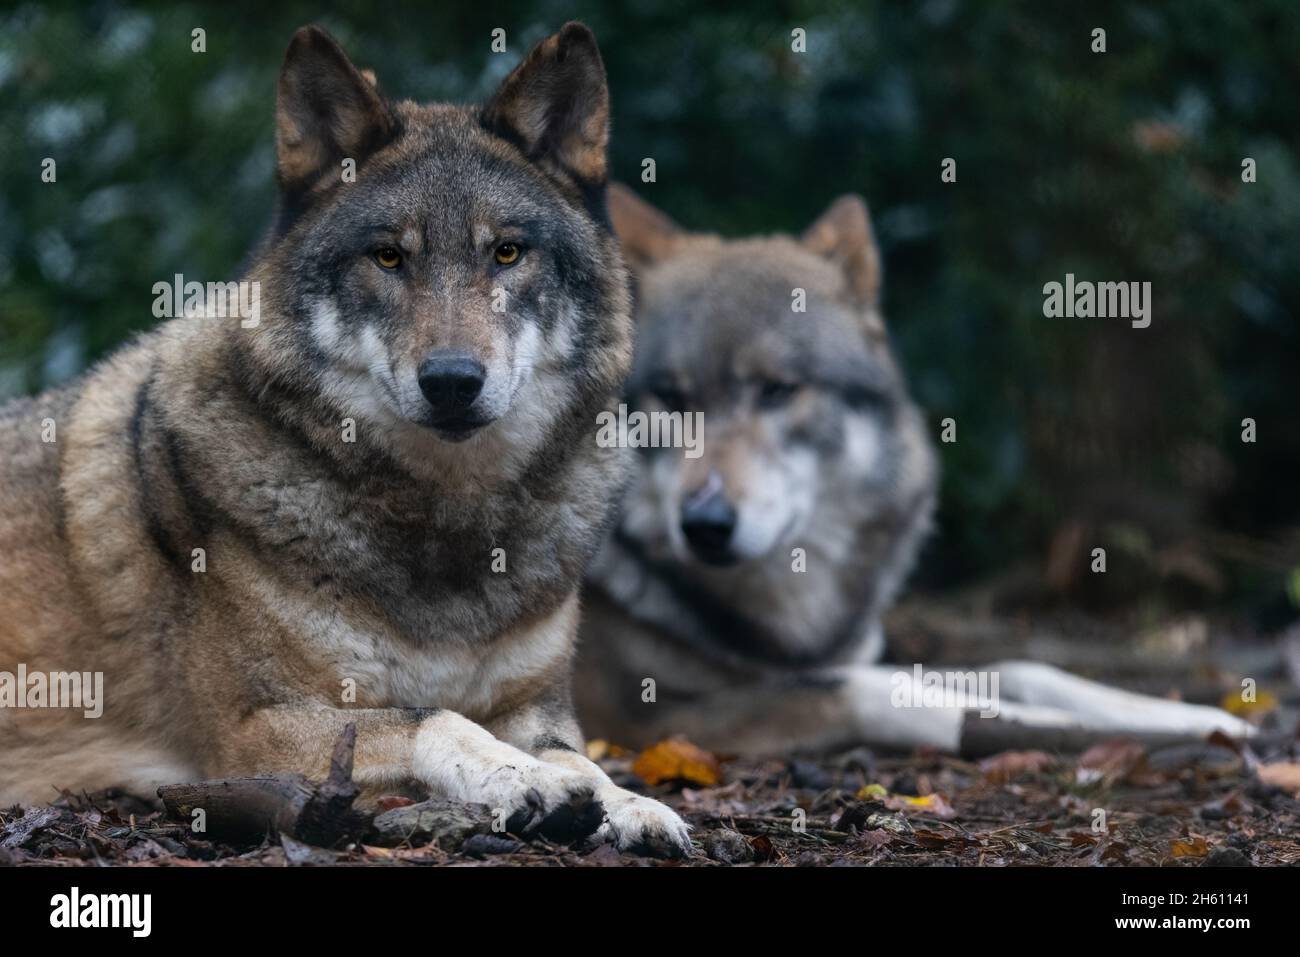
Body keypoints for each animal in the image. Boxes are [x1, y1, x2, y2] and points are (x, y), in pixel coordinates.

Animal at [0, 24, 690, 856]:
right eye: (389, 256)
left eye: (507, 252)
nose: (452, 380)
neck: (448, 527)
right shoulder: (256, 729)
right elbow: (438, 717)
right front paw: (527, 781)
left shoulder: (536, 709)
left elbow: (575, 755)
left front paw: (627, 801)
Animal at [576, 184, 1253, 756]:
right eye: (670, 397)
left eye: (777, 390)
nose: (705, 524)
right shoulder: (642, 721)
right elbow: (876, 691)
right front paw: (1060, 728)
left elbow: (1022, 668)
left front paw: (1201, 717)